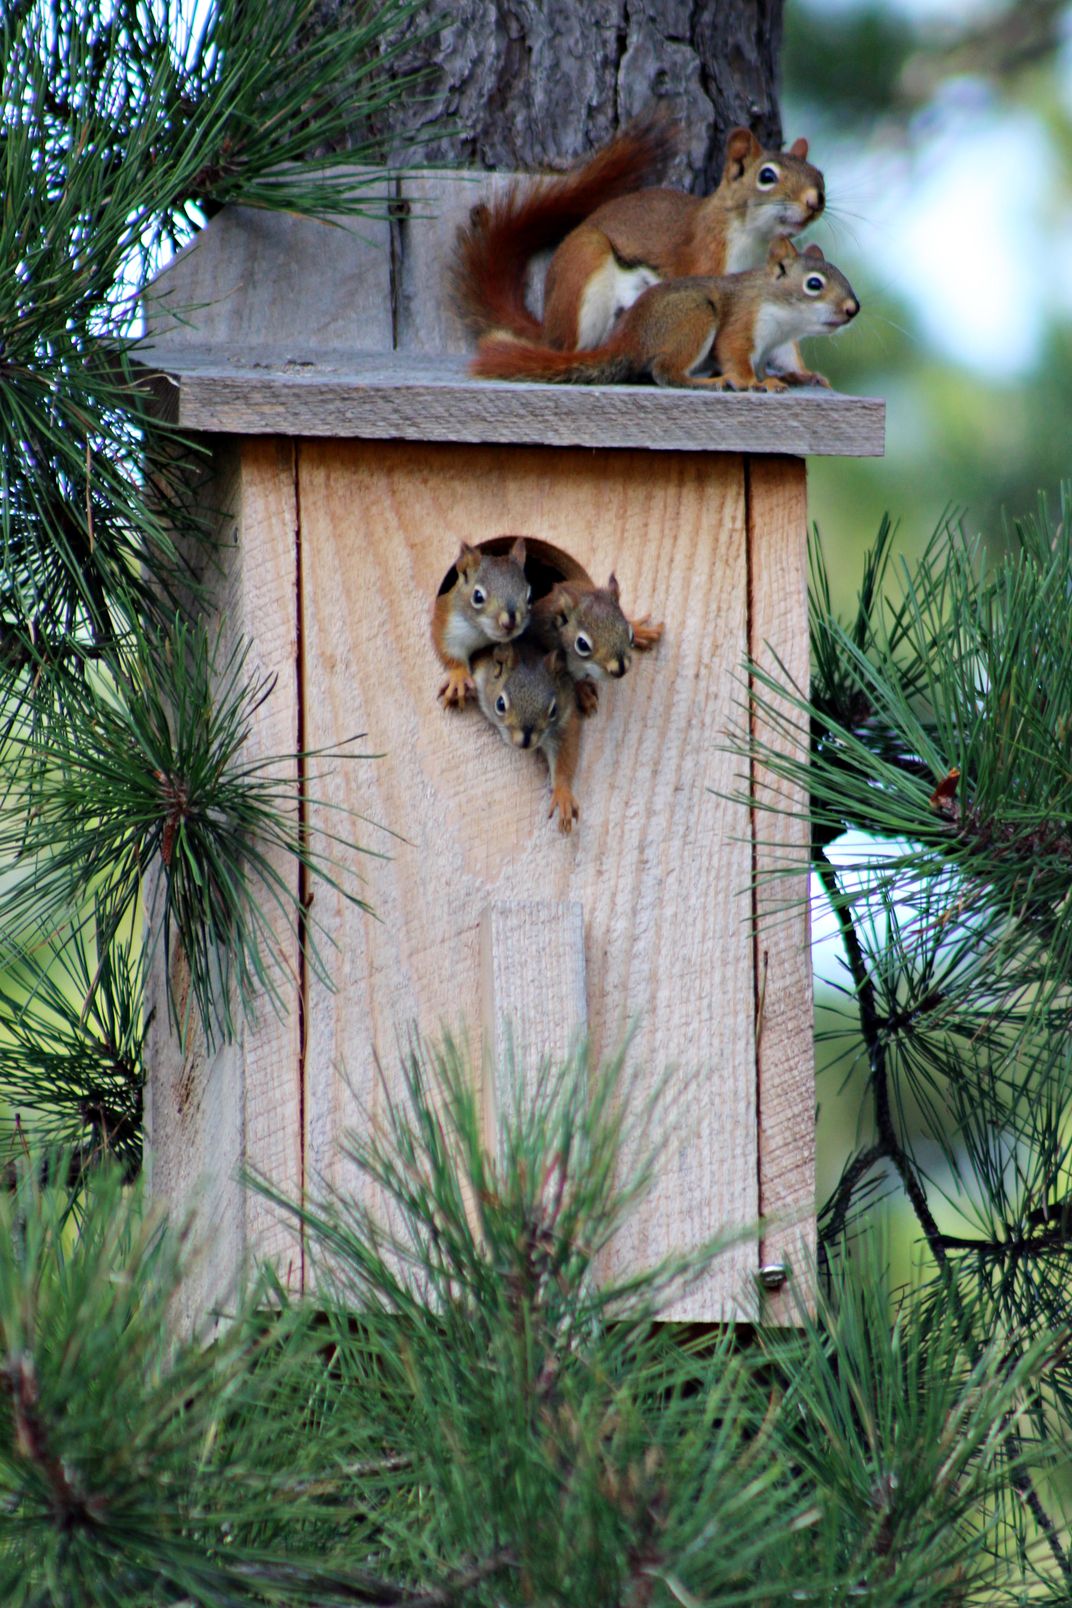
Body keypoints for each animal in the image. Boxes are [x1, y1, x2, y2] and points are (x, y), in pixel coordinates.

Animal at [431, 537, 531, 707]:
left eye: (529, 596)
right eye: (477, 596)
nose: (509, 623)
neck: (482, 634)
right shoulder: (446, 624)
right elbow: (448, 650)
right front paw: (459, 677)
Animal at [453, 122, 824, 358]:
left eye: (818, 176)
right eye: (767, 176)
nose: (814, 201)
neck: (756, 241)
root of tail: (548, 330)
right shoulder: (704, 259)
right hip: (586, 266)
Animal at [470, 238, 859, 392]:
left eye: (842, 274)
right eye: (814, 284)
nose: (852, 309)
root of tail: (628, 341)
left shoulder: (780, 344)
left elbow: (788, 361)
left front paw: (805, 376)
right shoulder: (743, 321)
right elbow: (735, 353)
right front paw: (755, 382)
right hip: (695, 315)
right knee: (664, 371)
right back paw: (708, 381)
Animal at [472, 642, 581, 833]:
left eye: (553, 710)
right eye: (500, 704)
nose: (524, 741)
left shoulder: (566, 717)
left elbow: (565, 754)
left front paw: (563, 794)